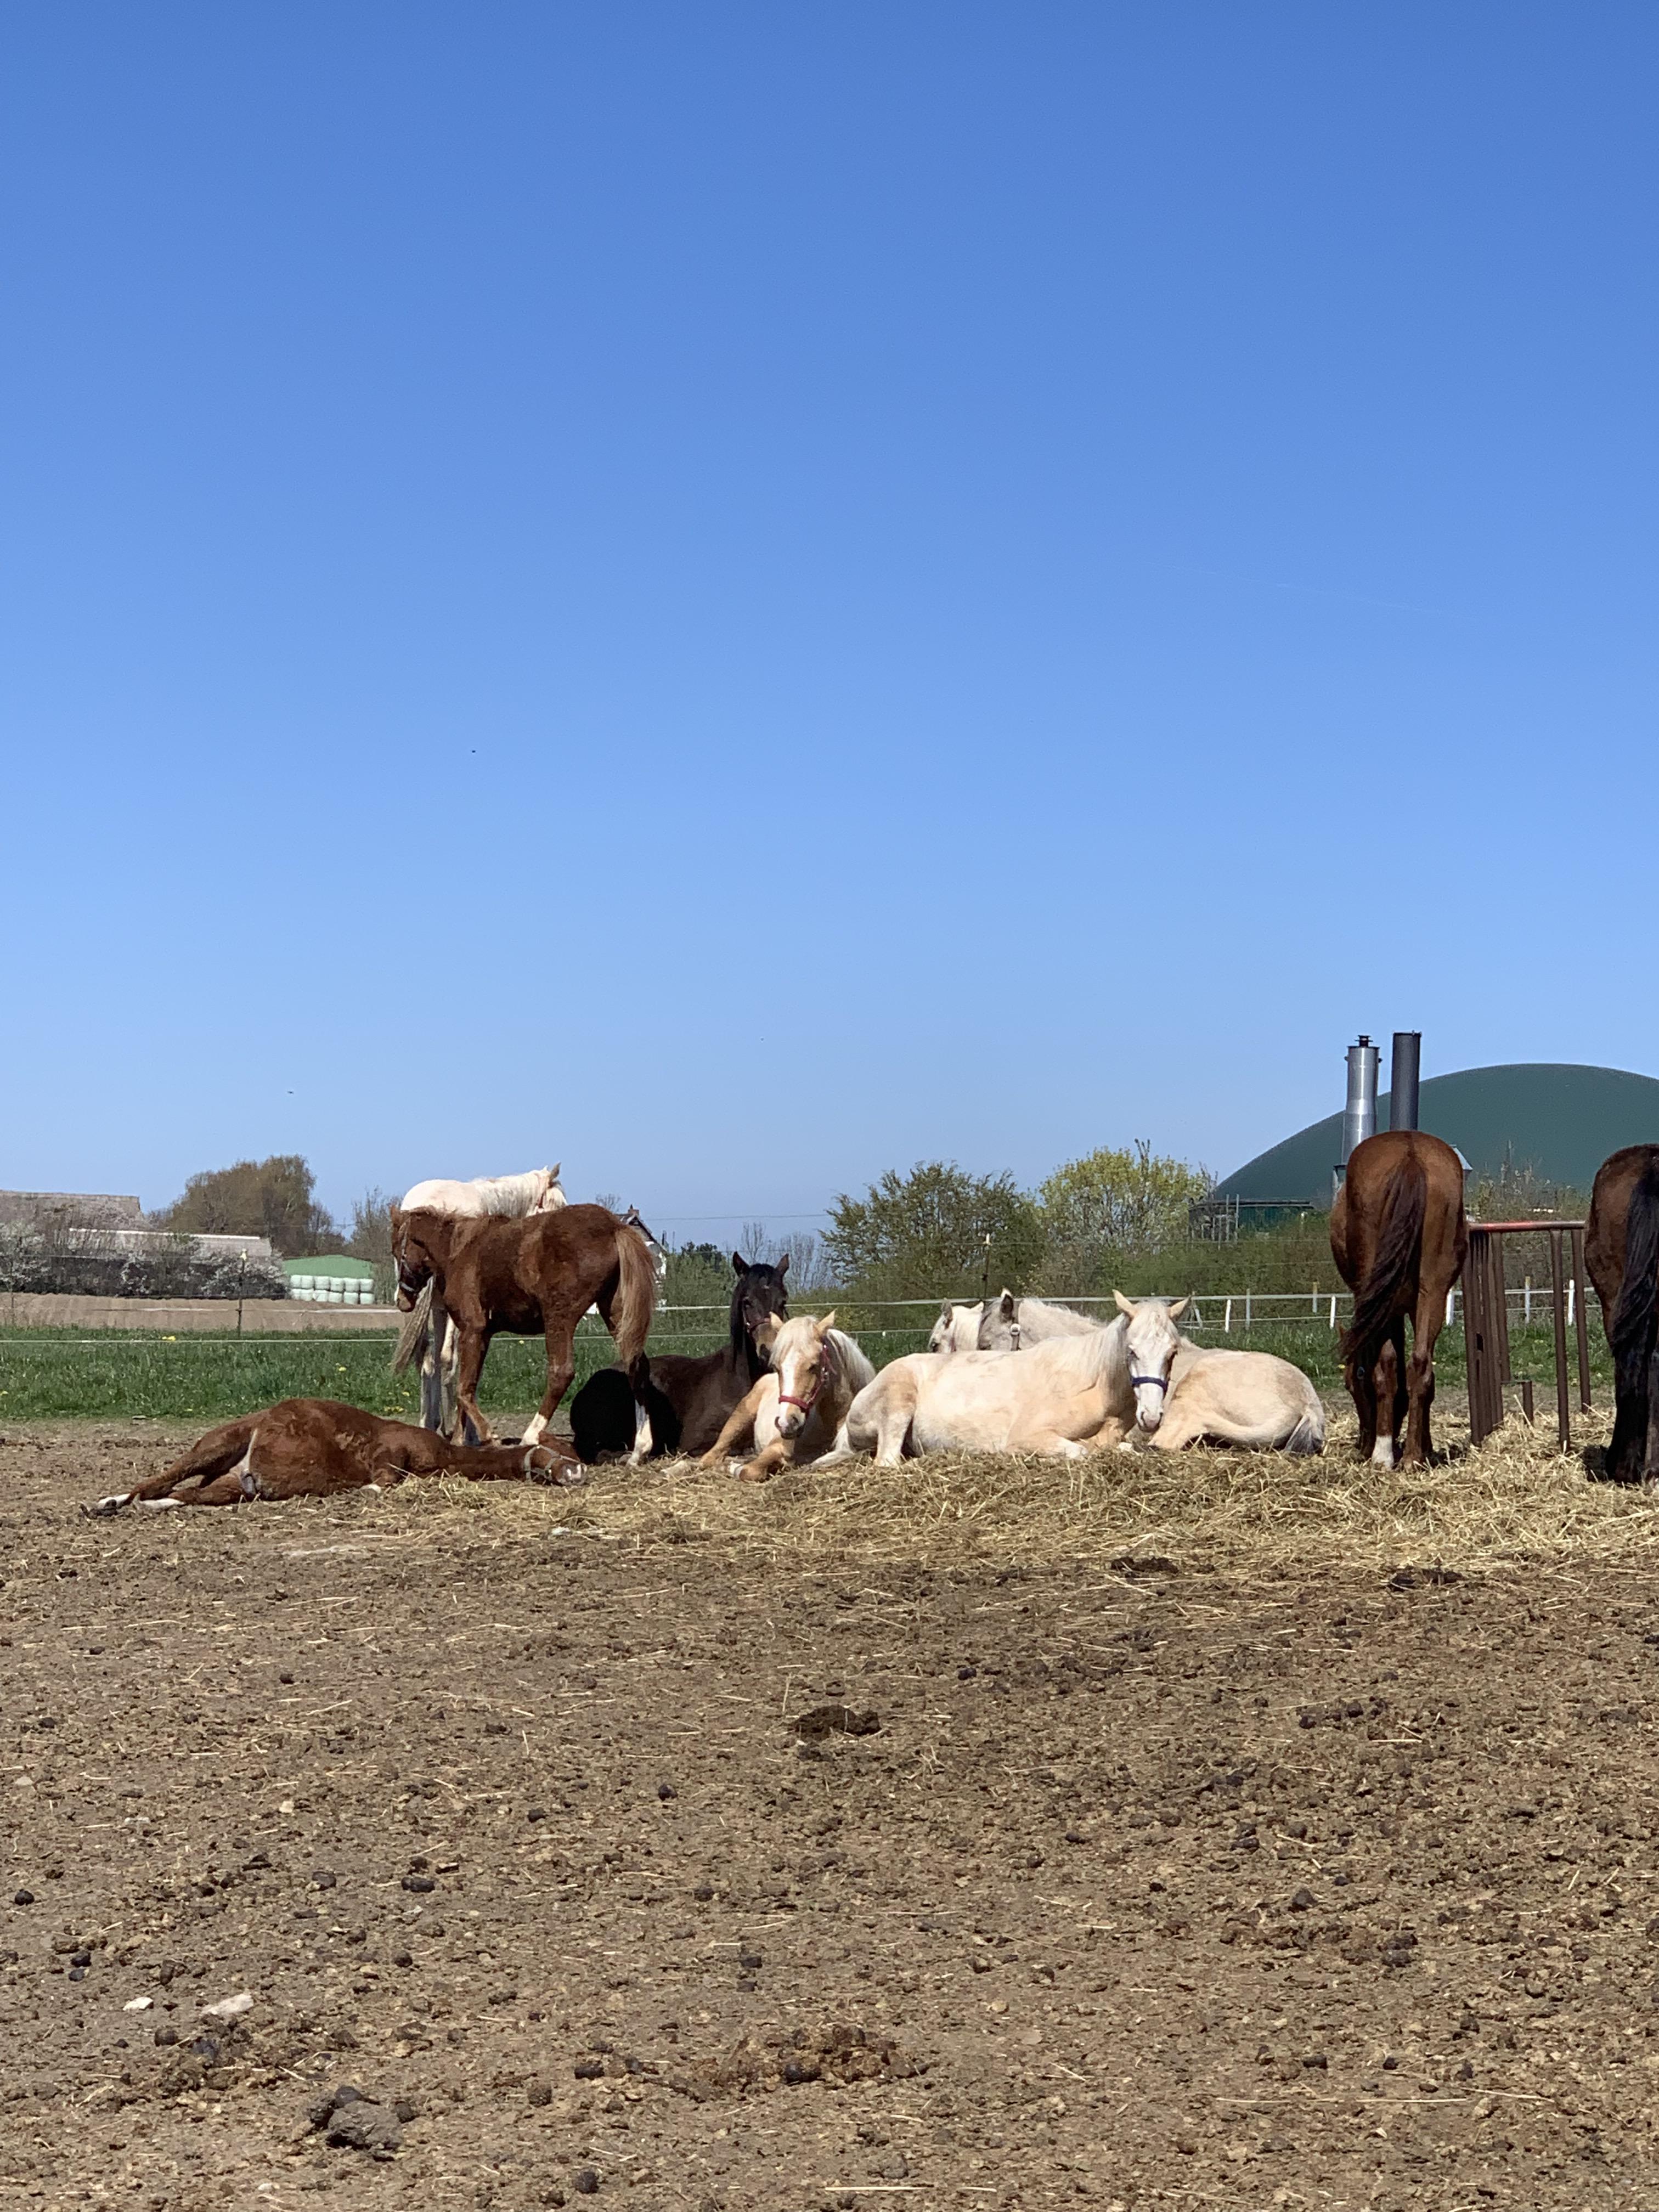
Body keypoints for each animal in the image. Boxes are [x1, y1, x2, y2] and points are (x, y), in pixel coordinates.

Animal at [390, 1204, 656, 1448]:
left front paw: (488, 1435)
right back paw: (641, 1447)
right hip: (616, 1313)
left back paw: (530, 1436)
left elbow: (463, 1388)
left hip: (559, 1318)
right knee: (637, 1366)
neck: (458, 1251)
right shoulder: (483, 1335)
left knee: (561, 1373)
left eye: (396, 1251)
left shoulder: (472, 1329)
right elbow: (469, 1384)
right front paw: (459, 1440)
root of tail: (615, 1227)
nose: (402, 1301)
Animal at [393, 1168, 566, 1435]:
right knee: (446, 1359)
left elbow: (435, 1362)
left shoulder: (439, 1309)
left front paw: (436, 1421)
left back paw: (430, 1423)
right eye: (558, 1204)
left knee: (426, 1359)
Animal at [698, 1312, 876, 1482]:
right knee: (710, 1457)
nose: (787, 1423)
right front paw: (733, 1467)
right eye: (777, 1367)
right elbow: (748, 1471)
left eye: (814, 1366)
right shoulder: (777, 1446)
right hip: (739, 1420)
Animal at [1329, 1129, 1467, 1469]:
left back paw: (1382, 1454)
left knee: (1388, 1366)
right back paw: (1413, 1458)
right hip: (1433, 1292)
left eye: (1351, 1383)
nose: (1361, 1443)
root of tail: (1410, 1154)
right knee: (1421, 1365)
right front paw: (1424, 1447)